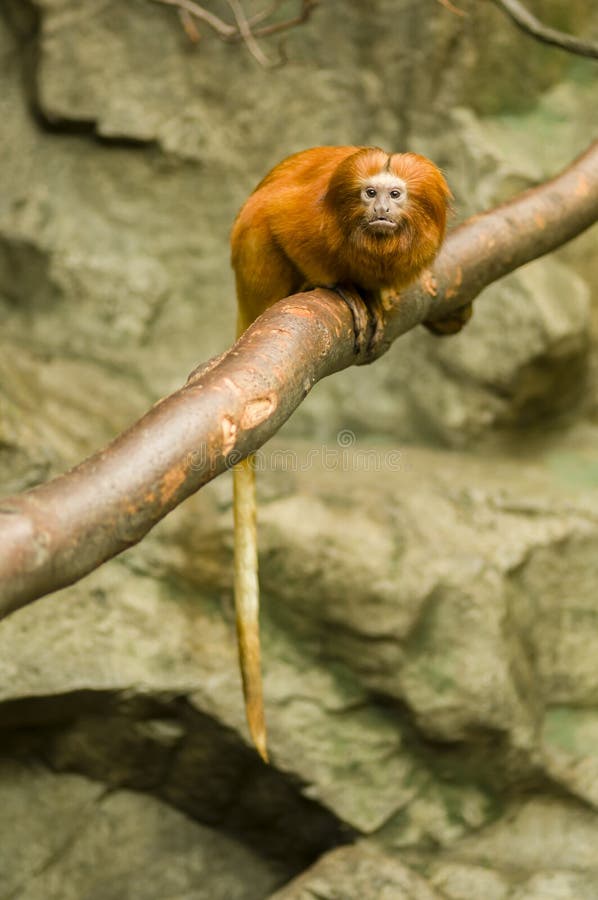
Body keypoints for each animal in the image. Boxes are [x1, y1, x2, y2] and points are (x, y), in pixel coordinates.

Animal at [230, 145, 468, 762]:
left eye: (396, 195)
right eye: (369, 193)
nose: (381, 209)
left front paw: (377, 293)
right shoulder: (304, 222)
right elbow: (277, 221)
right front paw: (341, 290)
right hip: (253, 275)